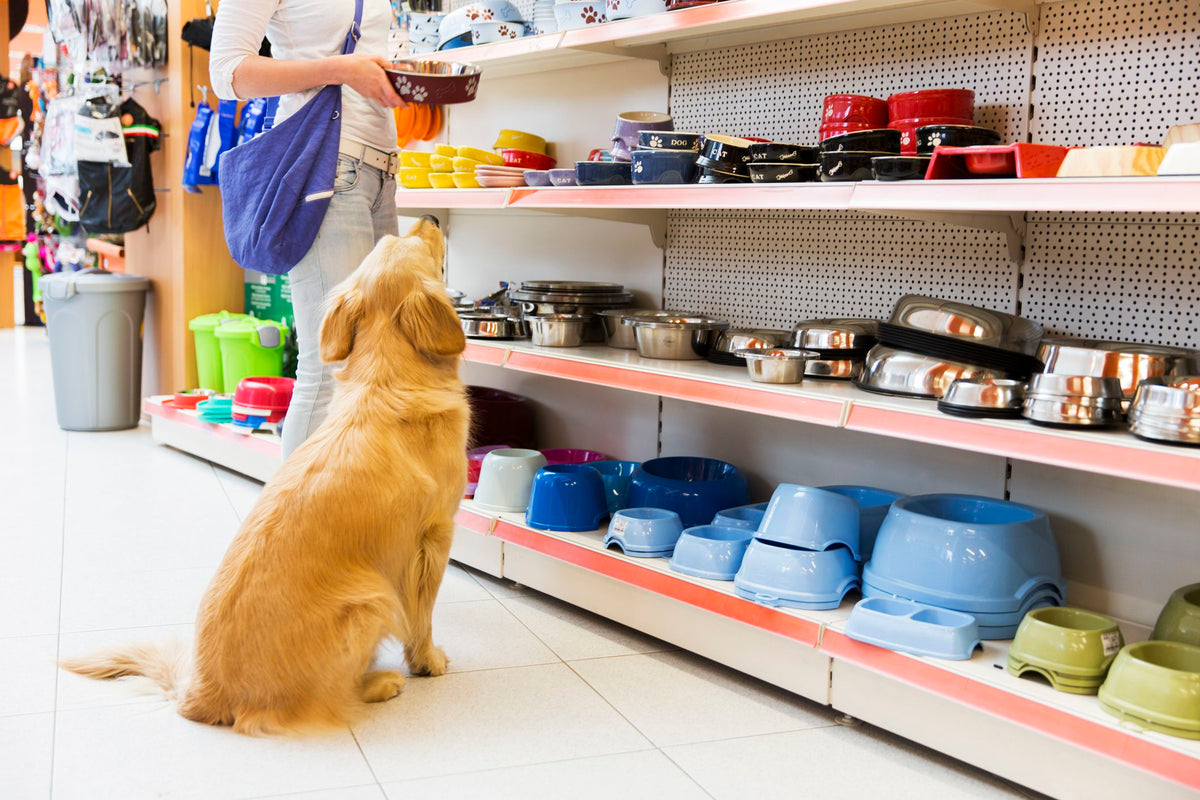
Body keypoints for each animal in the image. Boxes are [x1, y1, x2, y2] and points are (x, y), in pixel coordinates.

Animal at [62, 215, 468, 734]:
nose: (433, 218)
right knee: (331, 698)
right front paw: (427, 661)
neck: (385, 378)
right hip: (372, 597)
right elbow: (423, 616)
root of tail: (201, 692)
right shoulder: (433, 537)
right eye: (411, 242)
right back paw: (381, 682)